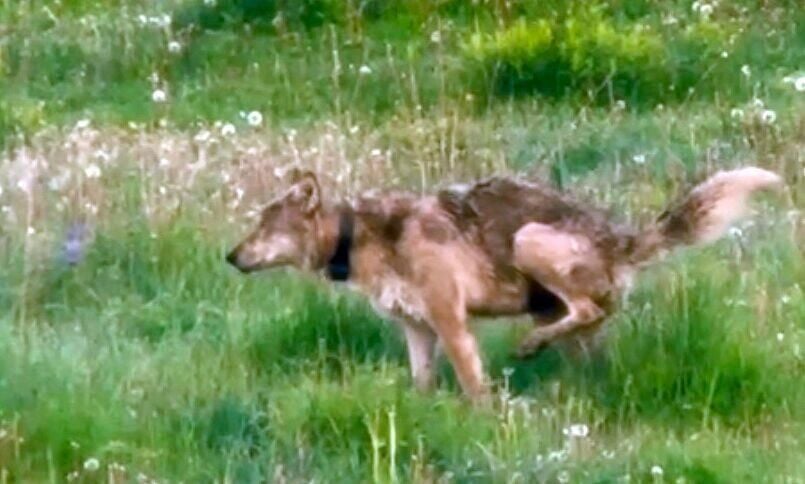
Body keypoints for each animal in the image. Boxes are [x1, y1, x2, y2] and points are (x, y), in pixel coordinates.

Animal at [226, 167, 782, 400]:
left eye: (263, 226)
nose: (229, 256)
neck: (362, 237)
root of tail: (621, 238)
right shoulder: (417, 330)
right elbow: (421, 384)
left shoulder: (449, 319)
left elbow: (474, 384)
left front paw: (483, 418)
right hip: (565, 319)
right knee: (593, 345)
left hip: (529, 241)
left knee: (588, 309)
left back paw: (529, 347)